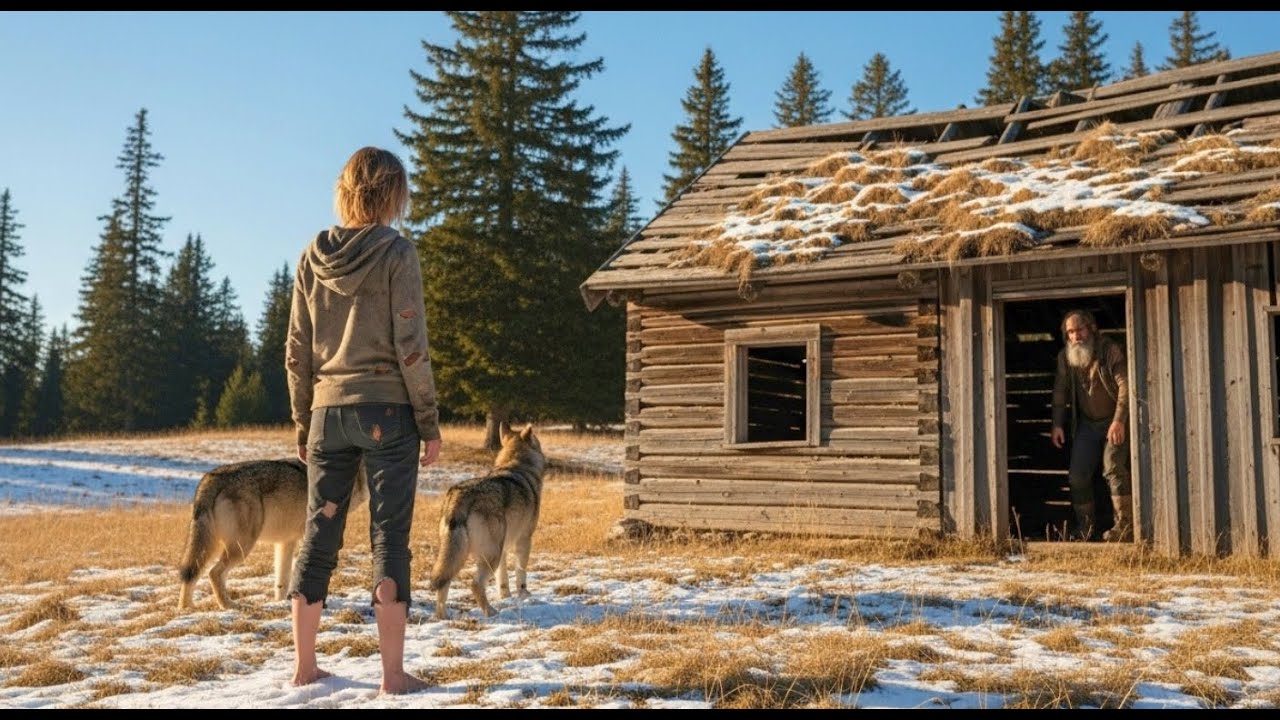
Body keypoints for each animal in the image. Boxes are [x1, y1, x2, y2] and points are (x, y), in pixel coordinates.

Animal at [176, 457, 367, 610]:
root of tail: (211, 477)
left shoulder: (286, 542)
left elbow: (282, 580)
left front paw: (282, 603)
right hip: (241, 547)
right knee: (213, 573)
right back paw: (228, 605)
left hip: (211, 546)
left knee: (191, 575)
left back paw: (186, 609)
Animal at [431, 423, 546, 619]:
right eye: (538, 442)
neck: (517, 466)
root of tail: (459, 497)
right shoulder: (524, 540)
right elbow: (521, 572)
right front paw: (524, 595)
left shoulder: (504, 548)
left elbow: (503, 578)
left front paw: (505, 597)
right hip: (490, 555)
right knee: (475, 584)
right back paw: (490, 612)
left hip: (458, 556)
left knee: (444, 584)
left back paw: (442, 618)